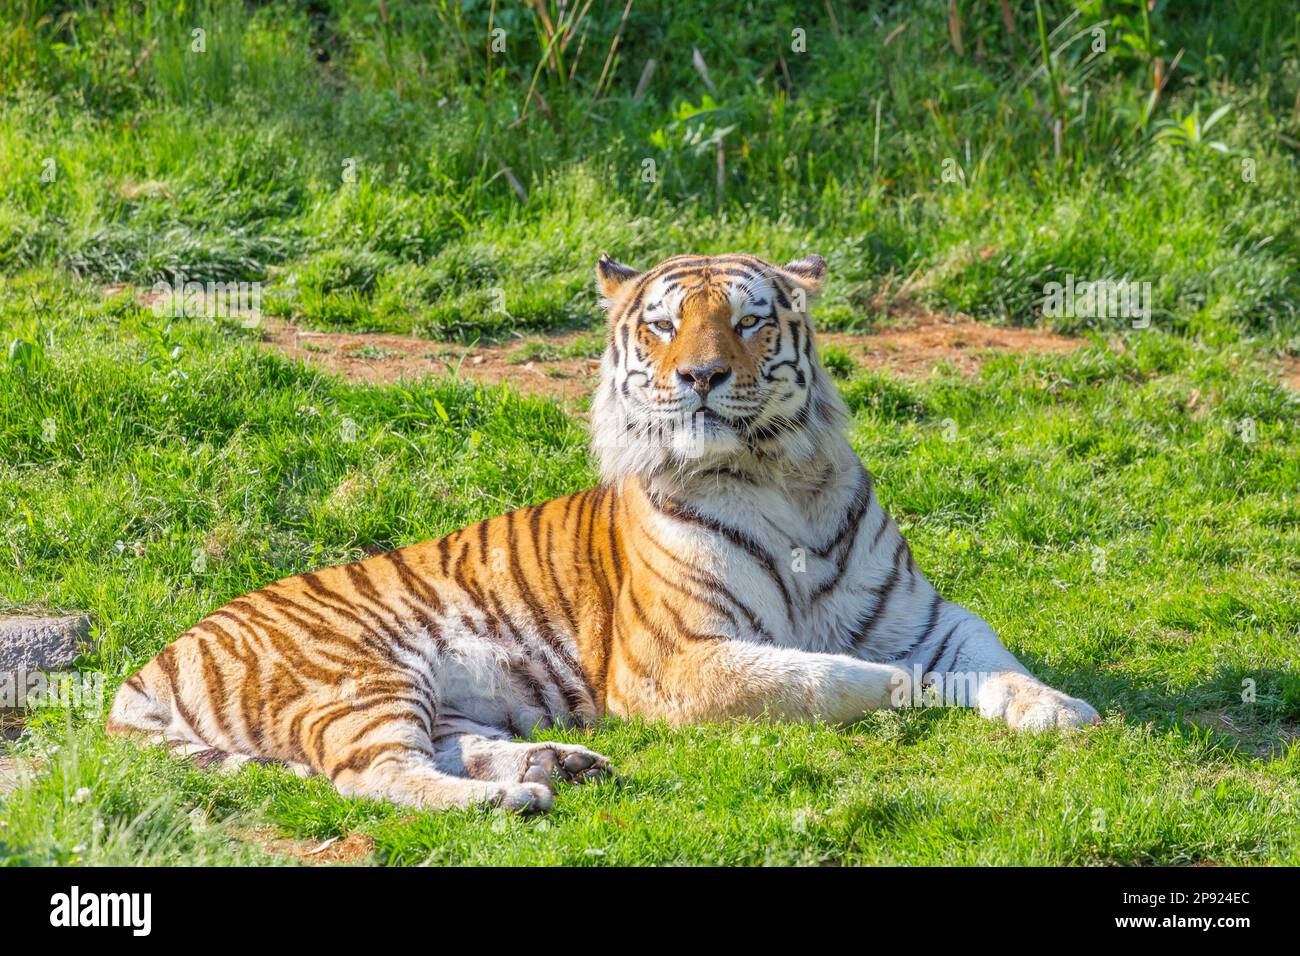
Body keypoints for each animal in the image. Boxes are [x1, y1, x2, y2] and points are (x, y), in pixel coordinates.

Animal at [107, 252, 1099, 814]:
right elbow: (832, 677)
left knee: (448, 744)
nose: (700, 376)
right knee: (372, 774)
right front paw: (906, 692)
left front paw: (1063, 710)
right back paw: (513, 801)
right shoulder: (679, 658)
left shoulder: (925, 617)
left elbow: (994, 663)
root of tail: (149, 663)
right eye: (662, 326)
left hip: (433, 693)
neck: (778, 476)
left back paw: (563, 764)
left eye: (748, 320)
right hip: (356, 676)